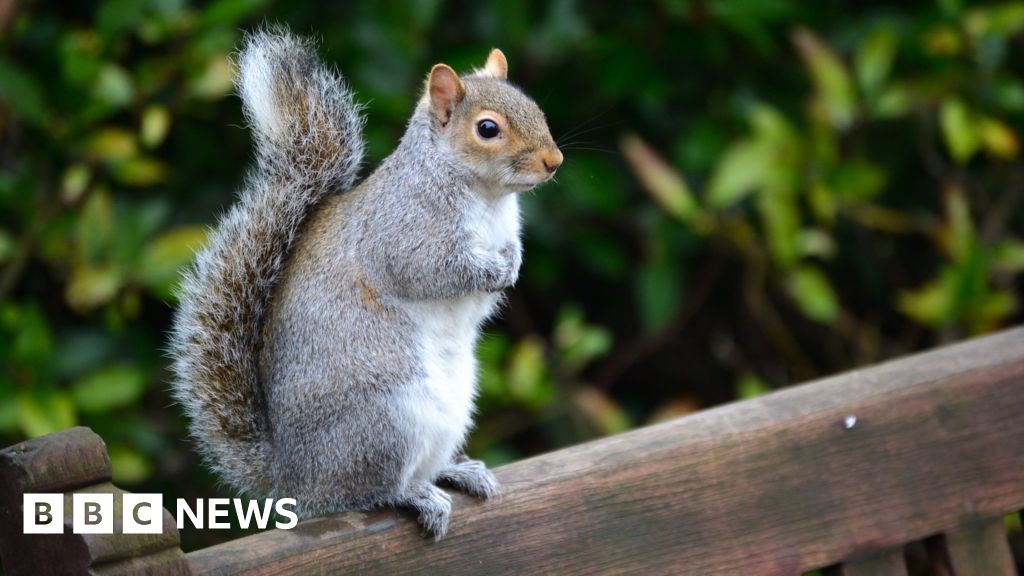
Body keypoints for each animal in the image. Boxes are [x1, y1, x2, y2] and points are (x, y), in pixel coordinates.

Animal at [169, 27, 562, 539]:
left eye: (535, 107)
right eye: (488, 129)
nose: (554, 161)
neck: (487, 197)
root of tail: (293, 479)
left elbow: (508, 253)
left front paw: (511, 264)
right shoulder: (401, 234)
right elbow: (431, 271)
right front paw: (491, 272)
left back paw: (456, 472)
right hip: (387, 421)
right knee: (368, 491)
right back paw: (414, 494)